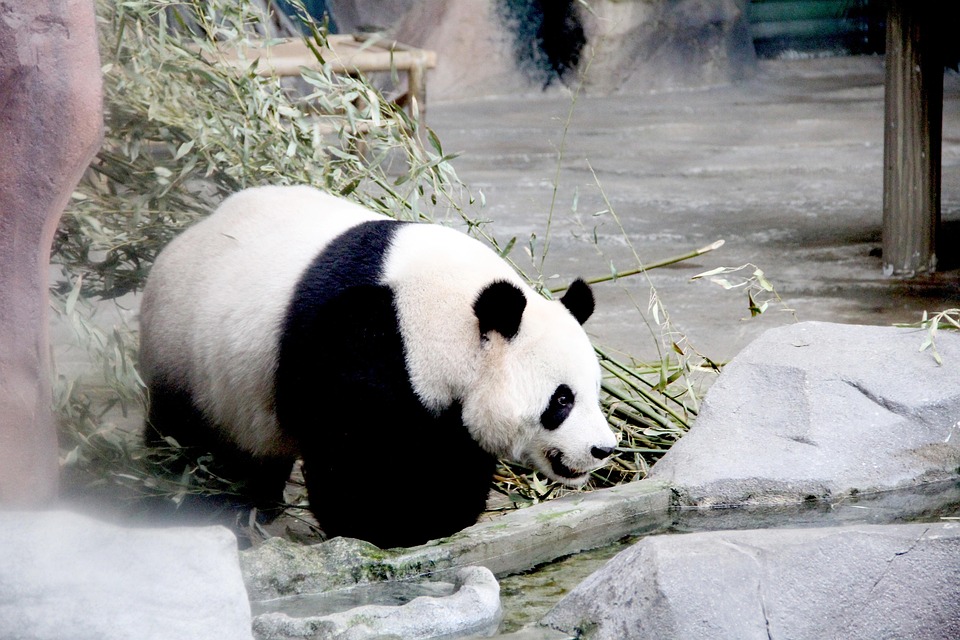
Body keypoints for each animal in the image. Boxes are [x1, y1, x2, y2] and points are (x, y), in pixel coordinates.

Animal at [138, 185, 617, 548]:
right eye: (561, 399)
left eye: (595, 391)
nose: (603, 449)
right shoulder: (362, 340)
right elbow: (355, 451)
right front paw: (388, 528)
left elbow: (453, 453)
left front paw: (441, 515)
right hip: (183, 351)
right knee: (186, 437)